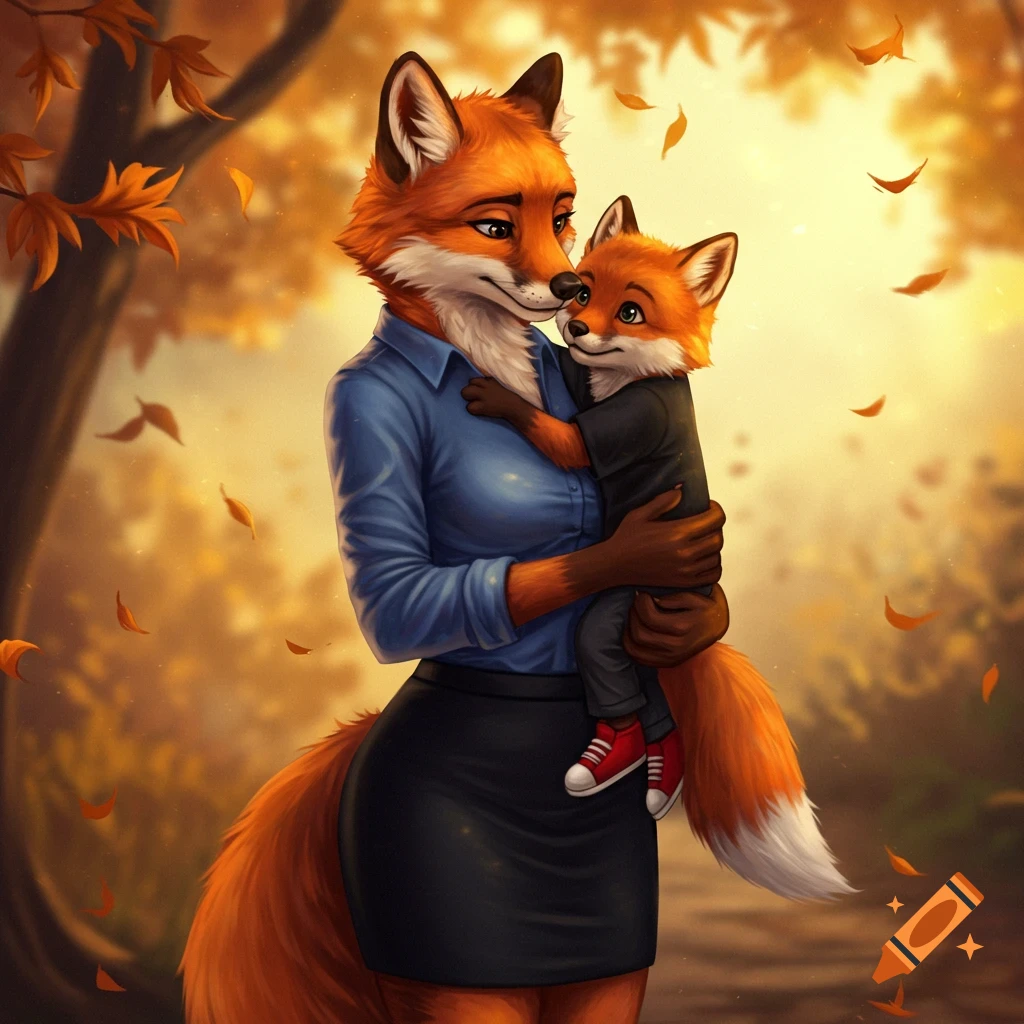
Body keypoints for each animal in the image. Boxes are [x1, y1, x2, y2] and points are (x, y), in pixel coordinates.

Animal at [180, 52, 853, 1024]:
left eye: (563, 220)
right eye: (497, 225)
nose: (570, 303)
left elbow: (555, 428)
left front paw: (507, 399)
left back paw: (644, 769)